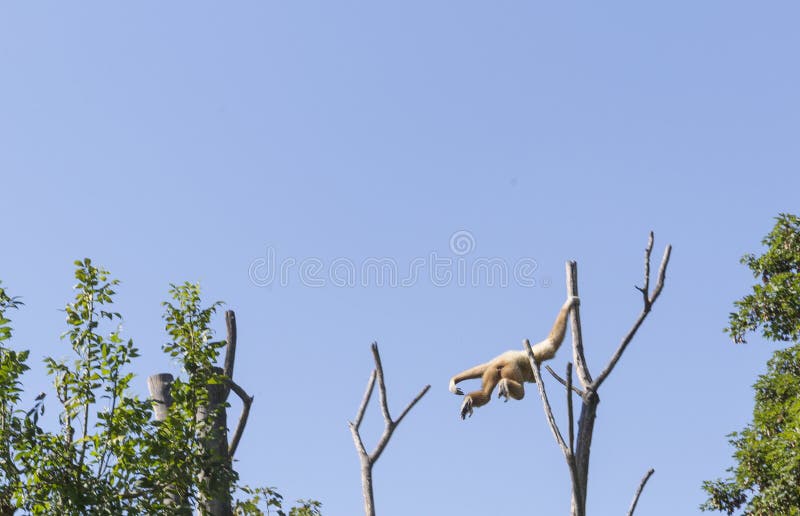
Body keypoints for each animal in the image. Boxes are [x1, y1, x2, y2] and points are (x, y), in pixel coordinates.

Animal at [449, 296, 579, 419]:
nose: (534, 376)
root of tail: (502, 362)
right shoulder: (537, 354)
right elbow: (551, 345)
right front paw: (569, 303)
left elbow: (480, 369)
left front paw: (453, 381)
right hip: (511, 369)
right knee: (520, 392)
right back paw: (505, 383)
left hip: (492, 370)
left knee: (486, 394)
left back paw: (468, 400)